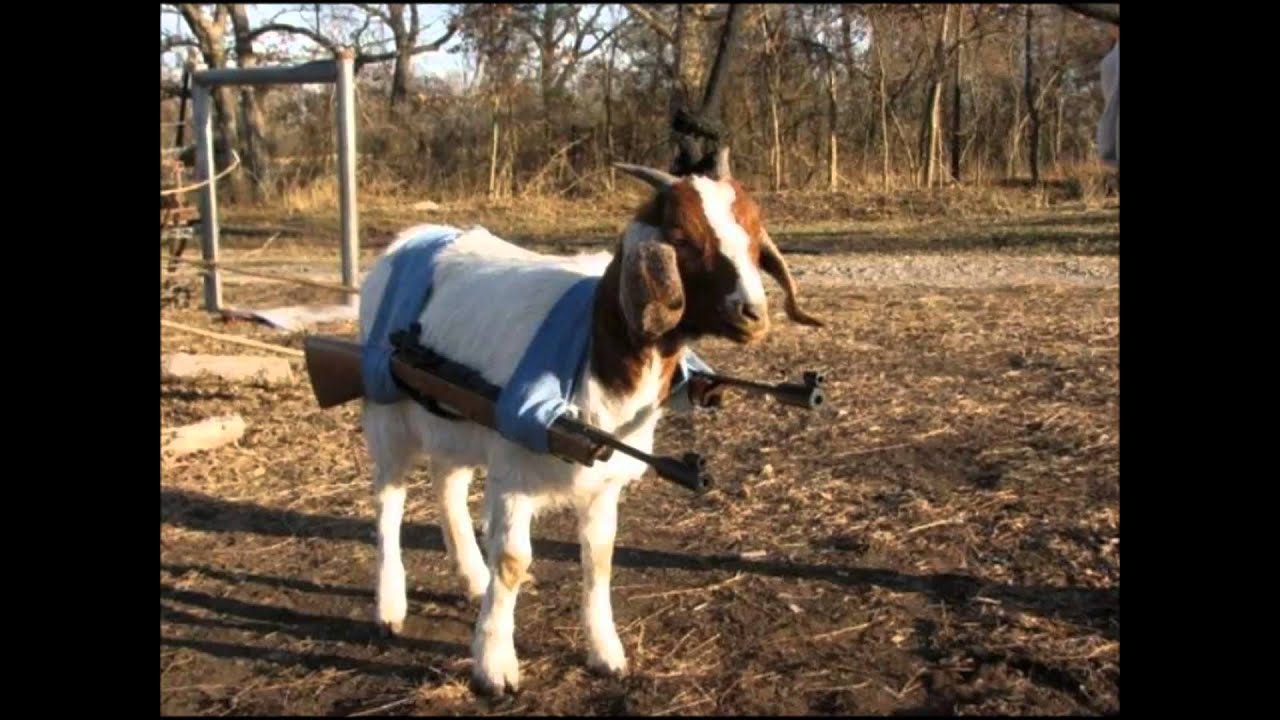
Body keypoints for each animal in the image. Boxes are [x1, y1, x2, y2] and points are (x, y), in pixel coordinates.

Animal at [356, 148, 822, 695]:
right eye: (683, 237)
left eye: (753, 235)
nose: (753, 313)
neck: (592, 349)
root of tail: (407, 239)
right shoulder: (512, 472)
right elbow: (512, 562)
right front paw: (495, 665)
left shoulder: (603, 482)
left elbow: (599, 559)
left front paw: (607, 653)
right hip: (386, 413)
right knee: (388, 502)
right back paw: (390, 606)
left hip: (454, 422)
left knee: (447, 483)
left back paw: (471, 579)